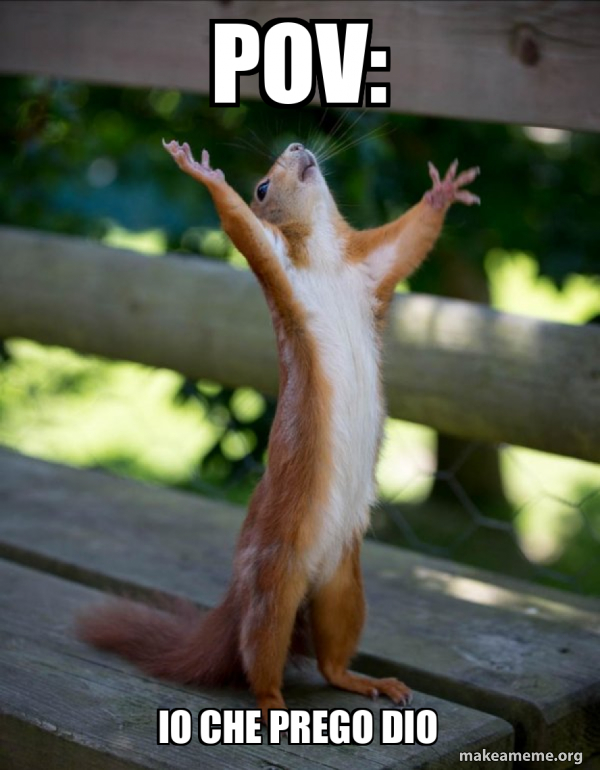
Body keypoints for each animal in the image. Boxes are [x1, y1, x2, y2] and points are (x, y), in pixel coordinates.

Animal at [78, 138, 480, 723]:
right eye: (262, 187)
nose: (296, 146)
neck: (327, 257)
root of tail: (239, 596)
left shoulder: (371, 267)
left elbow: (410, 240)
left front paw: (443, 192)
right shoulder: (277, 264)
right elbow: (240, 225)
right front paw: (204, 173)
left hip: (343, 587)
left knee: (331, 660)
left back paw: (366, 680)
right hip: (274, 584)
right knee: (259, 655)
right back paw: (272, 703)